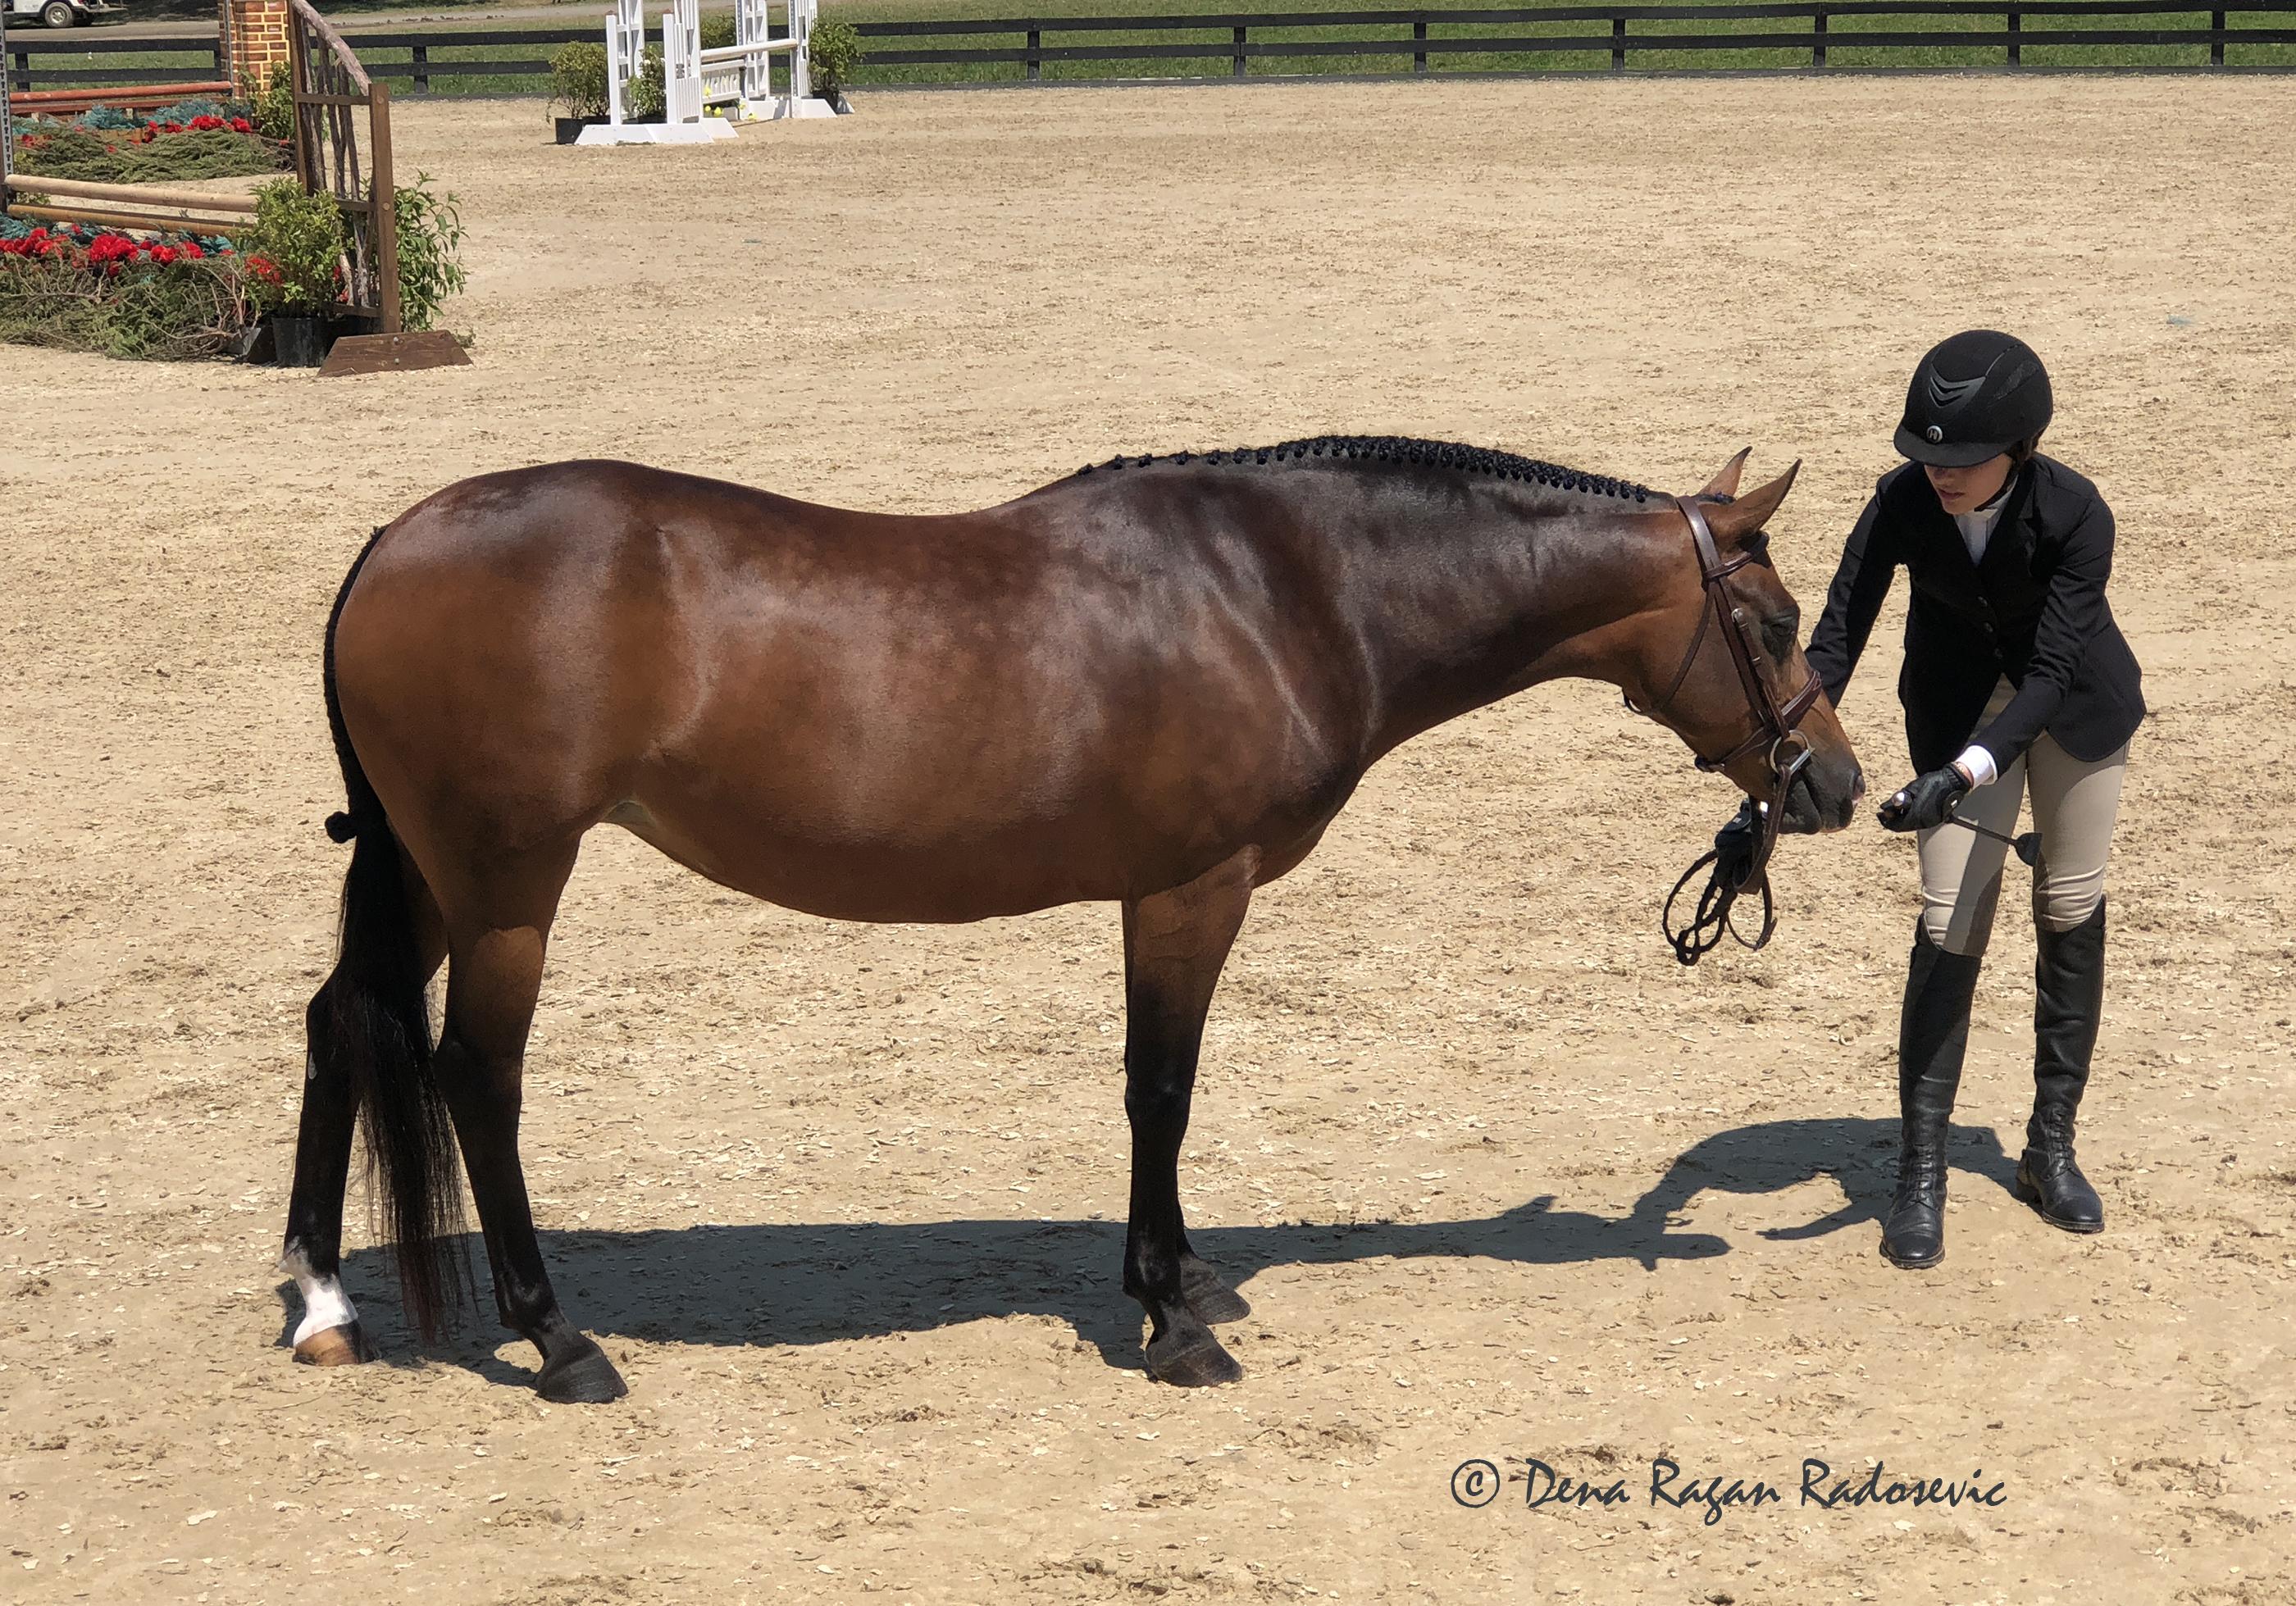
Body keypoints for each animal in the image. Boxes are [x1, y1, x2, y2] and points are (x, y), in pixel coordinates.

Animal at [278, 435, 1864, 1402]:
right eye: (1776, 624)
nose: (1837, 782)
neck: (1286, 590)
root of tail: (392, 539)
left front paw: (1191, 1280)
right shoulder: (1187, 889)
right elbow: (1162, 1088)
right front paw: (1171, 1317)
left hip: (427, 879)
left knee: (338, 1023)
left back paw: (323, 1302)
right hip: (506, 885)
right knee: (476, 1076)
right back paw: (558, 1337)